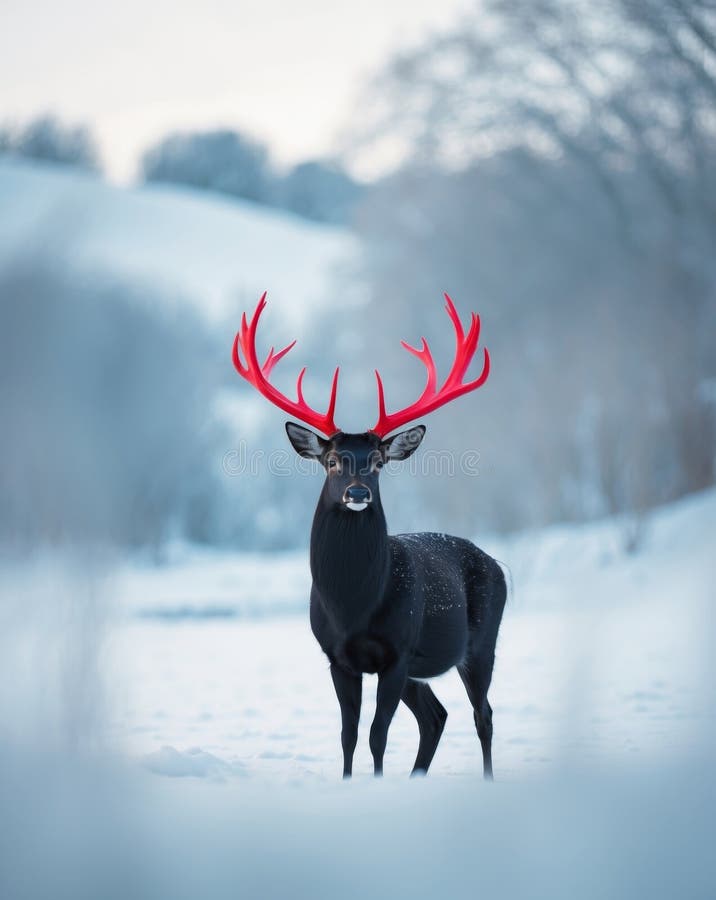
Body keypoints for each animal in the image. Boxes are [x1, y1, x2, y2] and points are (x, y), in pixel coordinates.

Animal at [232, 292, 506, 778]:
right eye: (332, 461)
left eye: (378, 462)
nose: (358, 492)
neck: (354, 607)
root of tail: (498, 566)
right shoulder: (338, 658)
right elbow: (348, 735)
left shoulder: (397, 652)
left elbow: (378, 735)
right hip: (422, 668)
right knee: (437, 716)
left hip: (481, 642)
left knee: (483, 714)